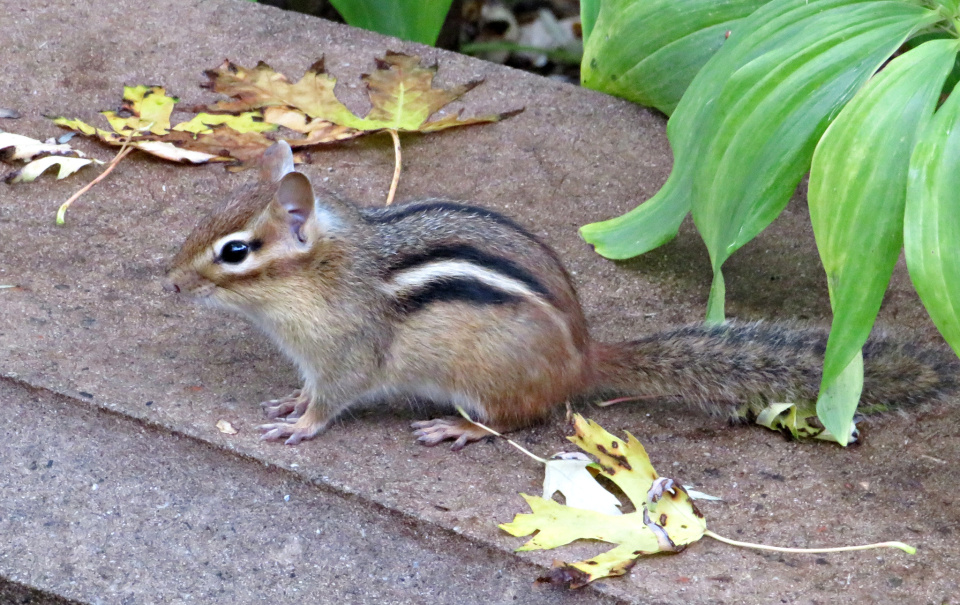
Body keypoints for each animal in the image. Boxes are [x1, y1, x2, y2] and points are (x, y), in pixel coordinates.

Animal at [164, 142, 958, 449]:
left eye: (235, 251)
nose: (168, 283)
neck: (322, 274)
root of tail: (584, 356)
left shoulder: (349, 353)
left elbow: (334, 398)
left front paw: (302, 425)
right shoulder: (312, 358)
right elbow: (303, 387)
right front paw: (286, 403)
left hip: (486, 379)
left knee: (518, 419)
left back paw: (457, 429)